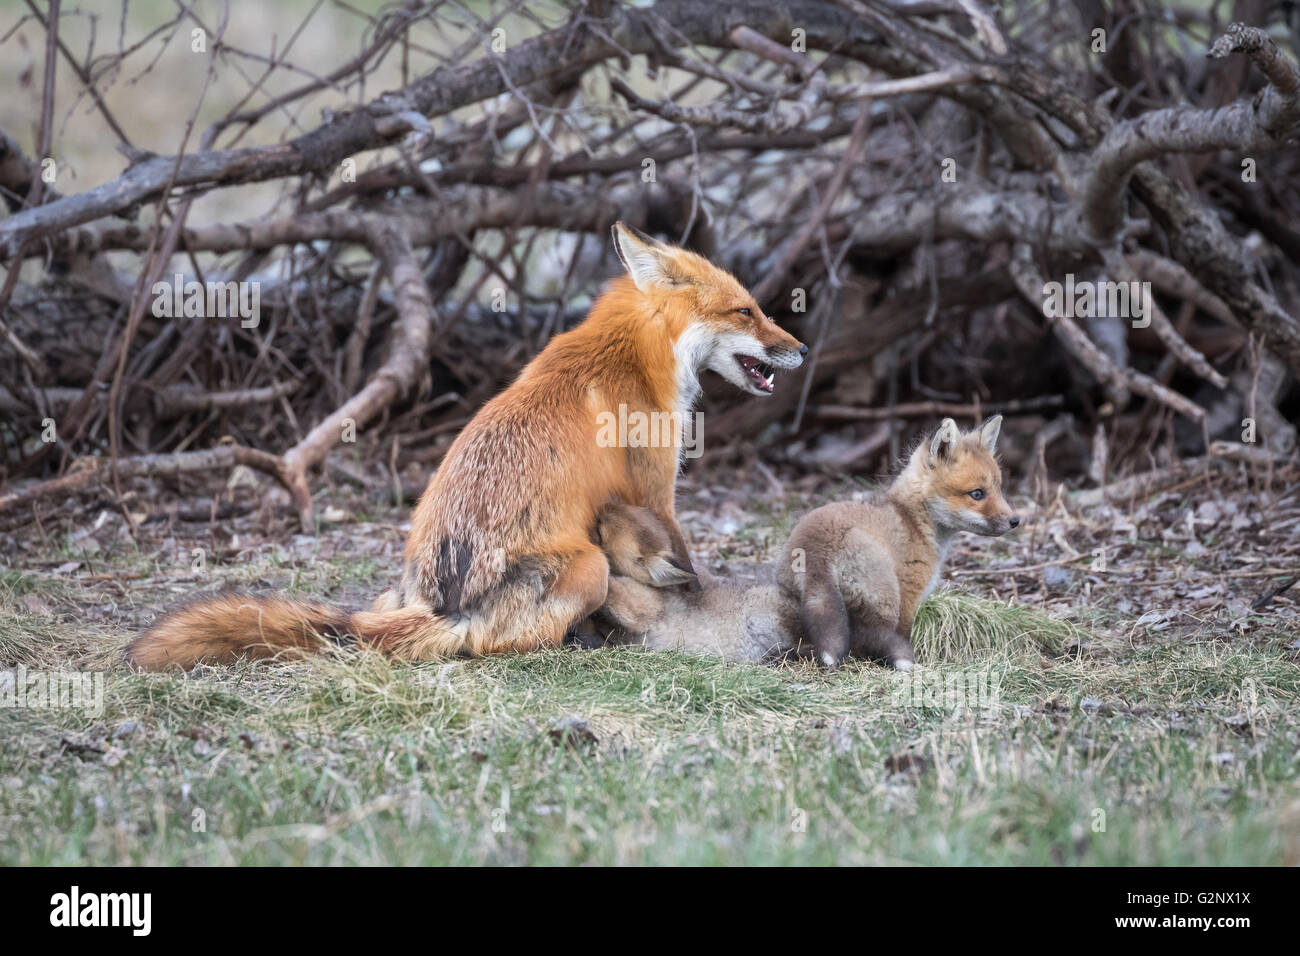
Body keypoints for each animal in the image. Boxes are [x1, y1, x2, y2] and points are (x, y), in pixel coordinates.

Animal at [126, 223, 806, 670]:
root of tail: (442, 603)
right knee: (496, 644)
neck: (634, 354)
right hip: (589, 565)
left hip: (399, 590)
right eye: (746, 312)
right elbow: (681, 557)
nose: (801, 349)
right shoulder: (654, 491)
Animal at [591, 417, 1019, 670]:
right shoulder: (909, 592)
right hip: (880, 596)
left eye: (999, 488)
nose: (1016, 520)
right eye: (977, 494)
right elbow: (903, 631)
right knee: (872, 638)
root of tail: (818, 547)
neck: (909, 519)